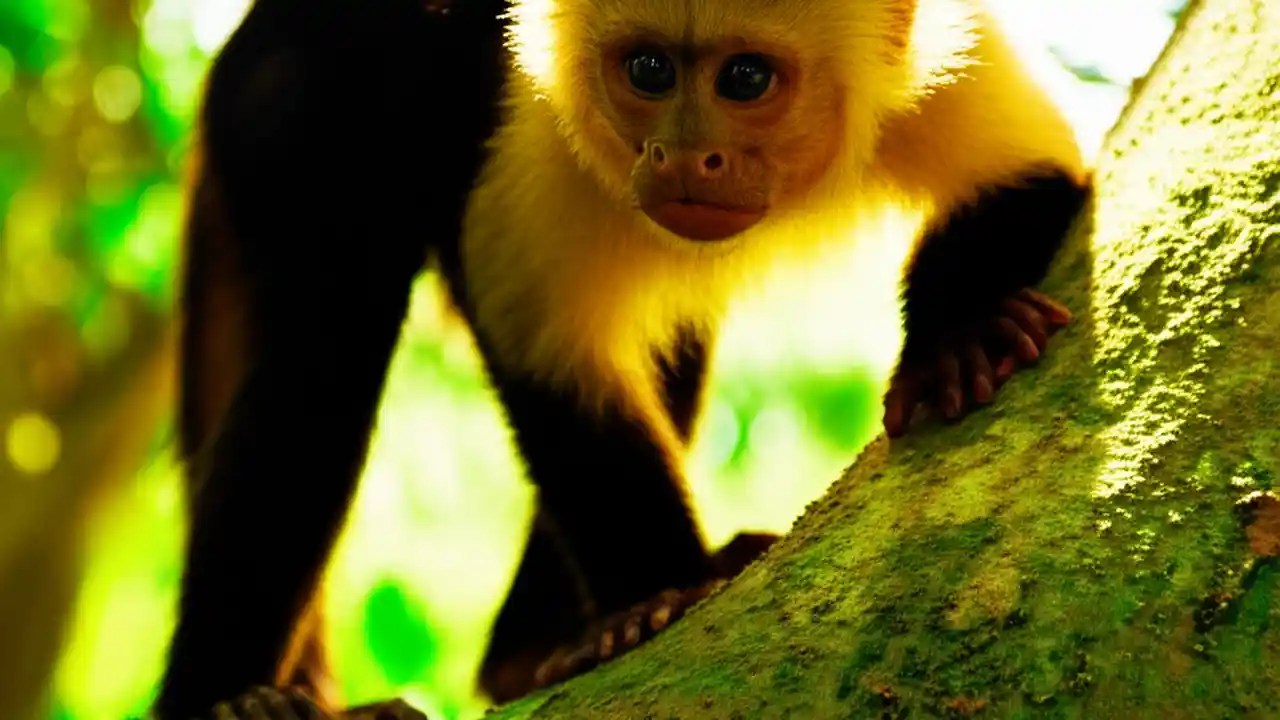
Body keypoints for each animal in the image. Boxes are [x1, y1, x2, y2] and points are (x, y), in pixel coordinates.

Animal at [162, 0, 1089, 716]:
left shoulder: (944, 51)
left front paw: (959, 334)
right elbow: (546, 357)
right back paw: (231, 703)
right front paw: (650, 599)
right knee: (321, 359)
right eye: (647, 70)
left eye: (745, 79)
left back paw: (525, 653)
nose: (681, 155)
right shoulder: (539, 111)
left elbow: (1033, 170)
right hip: (290, 93)